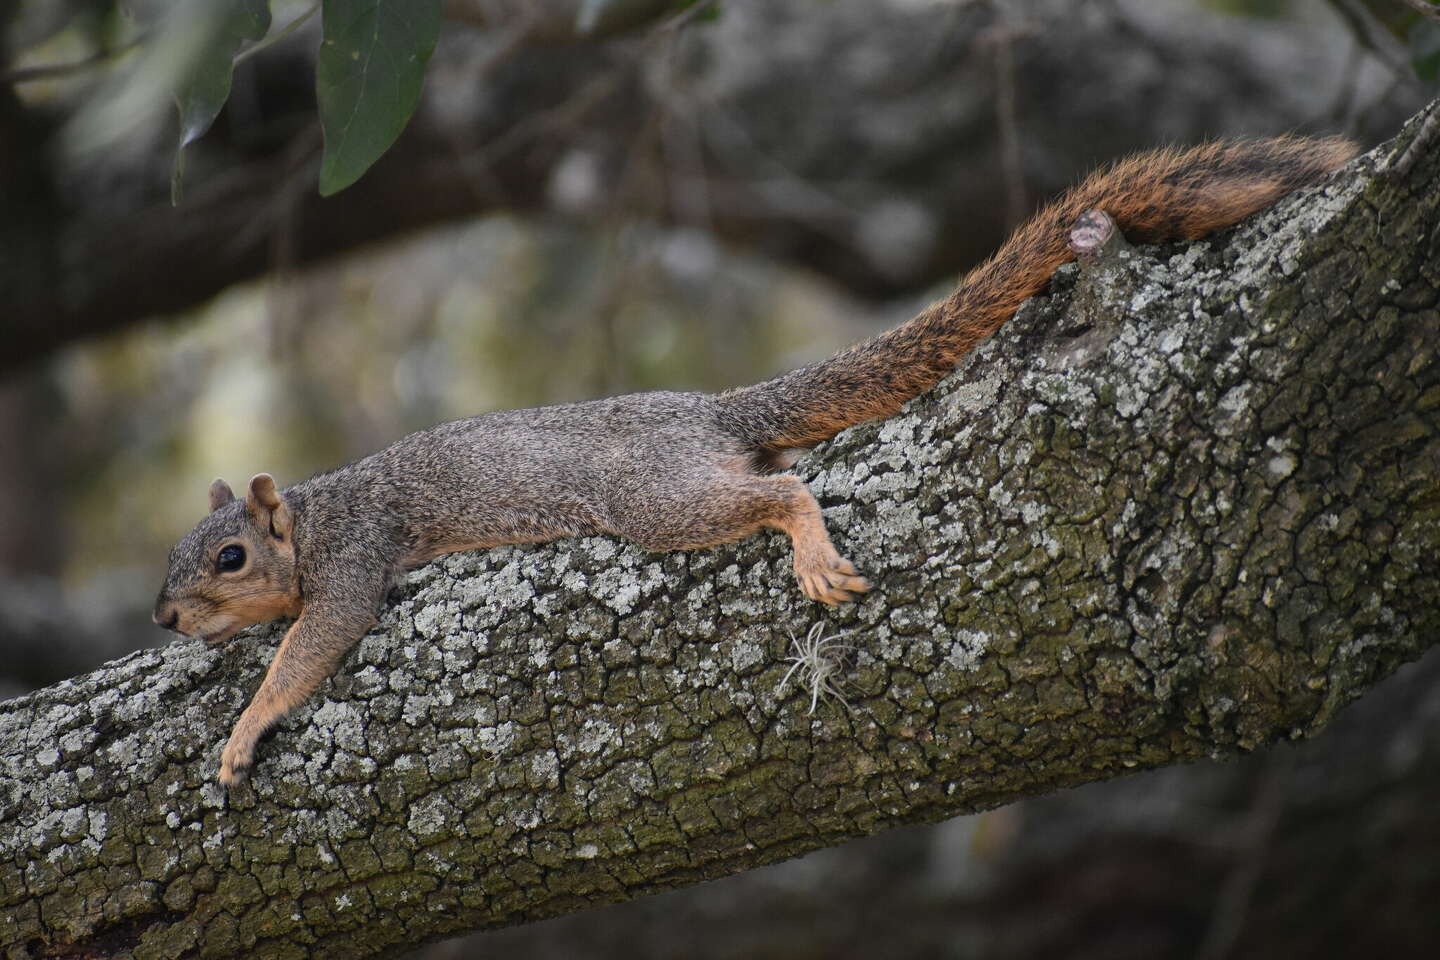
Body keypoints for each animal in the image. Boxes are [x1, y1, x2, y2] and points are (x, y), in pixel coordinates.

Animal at [153, 136, 1357, 787]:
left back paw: (809, 547)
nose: (164, 618)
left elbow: (311, 647)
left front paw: (246, 726)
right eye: (173, 556)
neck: (313, 514)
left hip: (654, 495)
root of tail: (712, 410)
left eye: (227, 557)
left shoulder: (359, 558)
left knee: (777, 486)